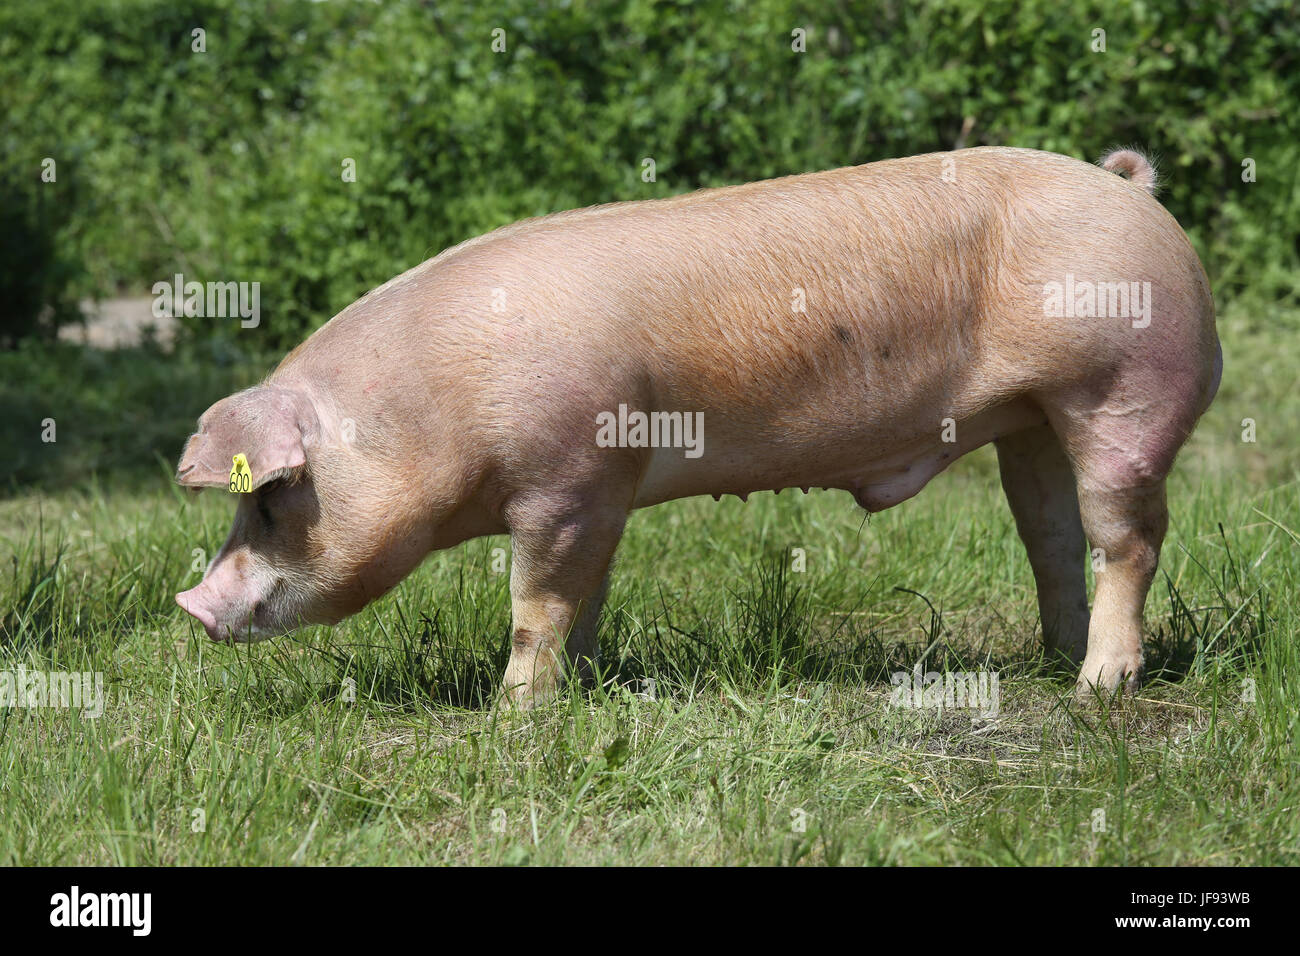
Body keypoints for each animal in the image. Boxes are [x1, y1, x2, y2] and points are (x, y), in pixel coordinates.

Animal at [175, 146, 1221, 706]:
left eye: (272, 502)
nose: (189, 605)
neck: (432, 410)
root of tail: (1131, 187)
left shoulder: (565, 476)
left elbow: (535, 603)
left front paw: (511, 714)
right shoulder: (600, 490)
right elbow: (581, 598)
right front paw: (581, 688)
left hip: (1124, 389)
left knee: (1129, 537)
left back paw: (1100, 687)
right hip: (1032, 418)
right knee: (1054, 536)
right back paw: (1052, 661)